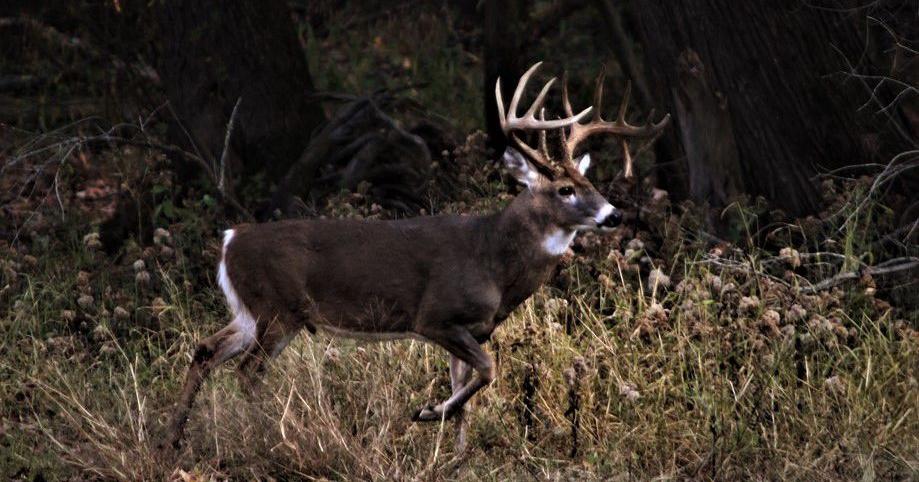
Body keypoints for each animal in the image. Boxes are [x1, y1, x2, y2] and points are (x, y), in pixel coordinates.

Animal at [167, 61, 669, 450]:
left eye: (591, 184)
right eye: (565, 189)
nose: (612, 213)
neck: (494, 259)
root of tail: (230, 239)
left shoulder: (475, 330)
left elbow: (468, 390)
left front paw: (458, 454)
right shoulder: (435, 316)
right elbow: (486, 372)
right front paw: (428, 412)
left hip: (251, 312)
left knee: (206, 350)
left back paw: (173, 440)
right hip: (278, 310)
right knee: (247, 372)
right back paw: (265, 436)